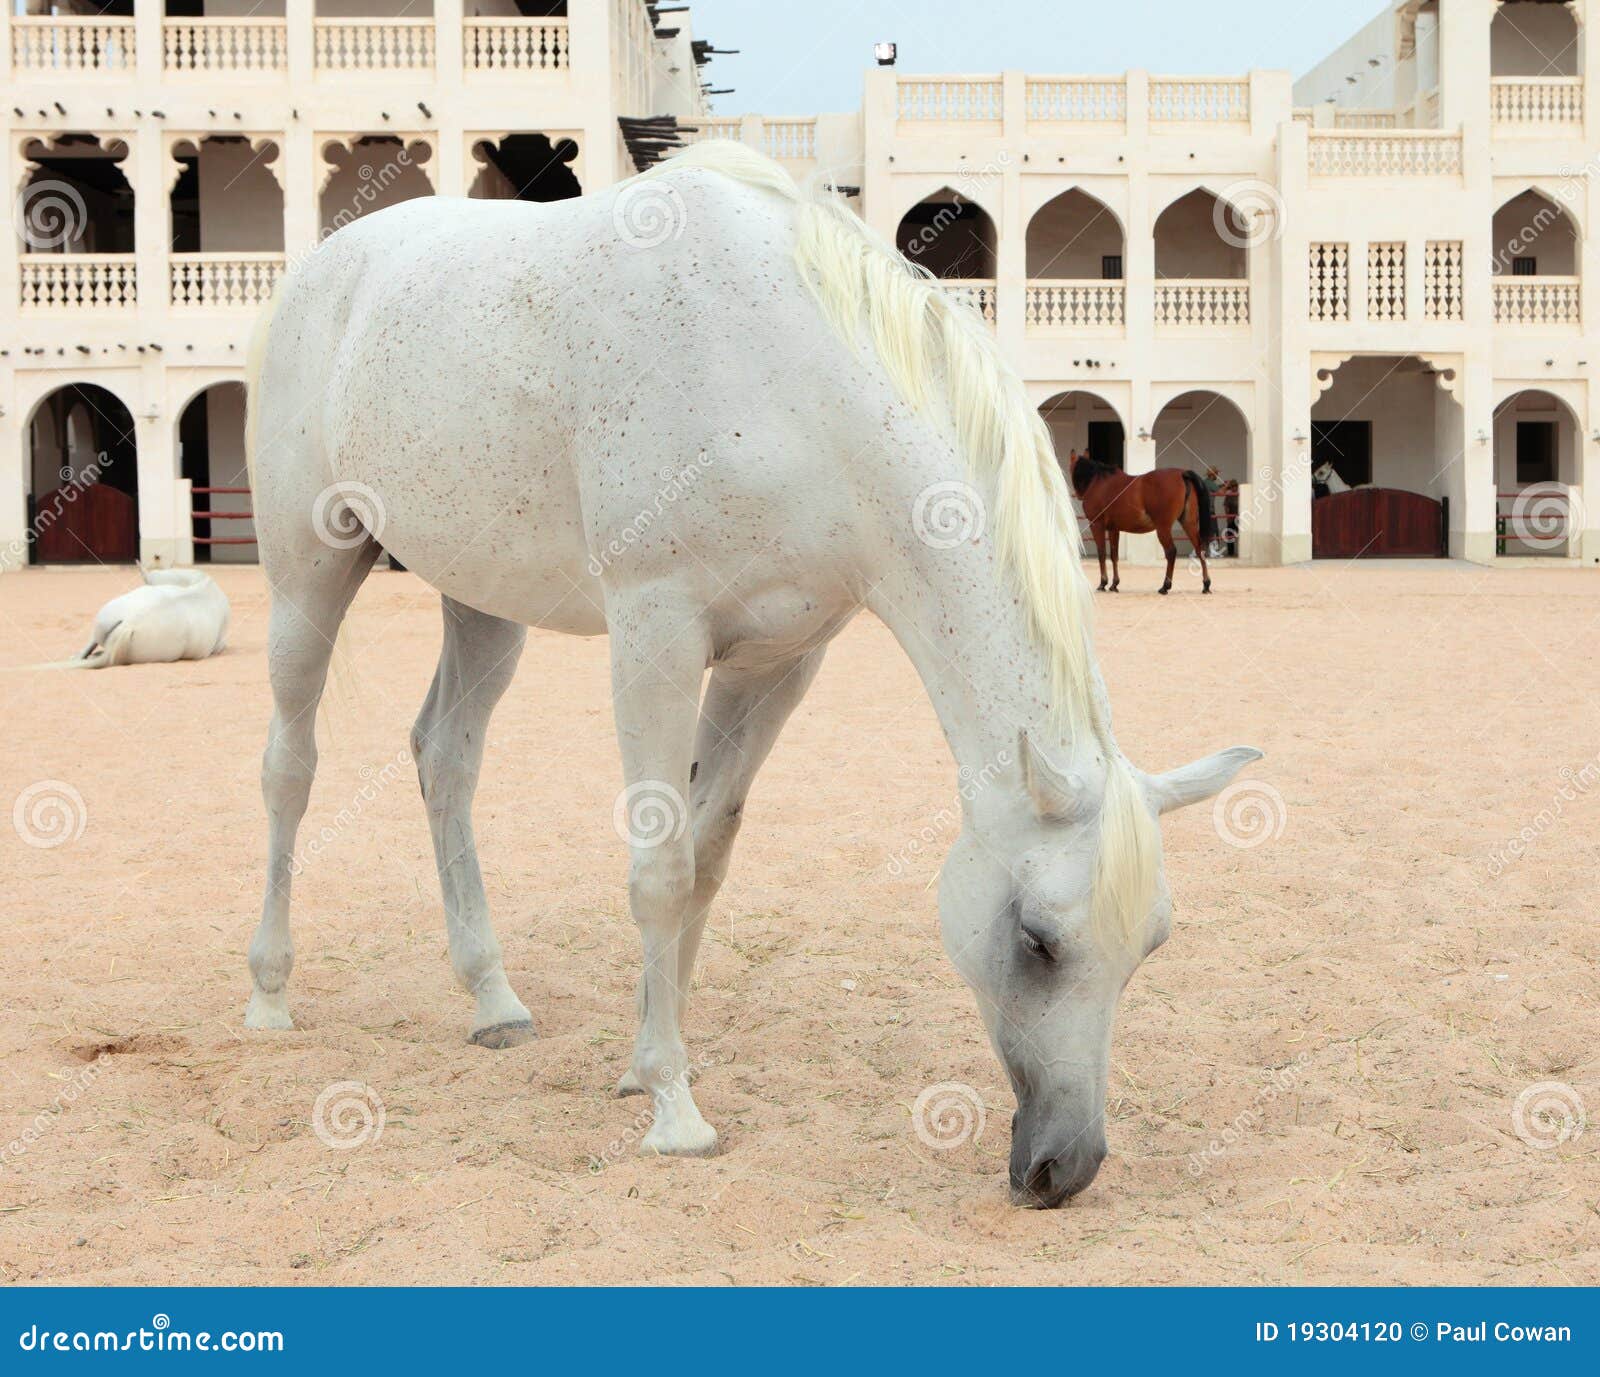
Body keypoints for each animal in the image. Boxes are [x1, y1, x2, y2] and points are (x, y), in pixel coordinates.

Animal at [1069, 458, 1218, 596]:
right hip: (1189, 523)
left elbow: (1101, 553)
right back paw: (1206, 585)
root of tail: (1182, 473)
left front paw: (1103, 583)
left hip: (1163, 528)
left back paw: (1165, 586)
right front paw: (1114, 584)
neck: (1099, 483)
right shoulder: (1113, 529)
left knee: (1171, 552)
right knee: (1200, 550)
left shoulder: (1096, 525)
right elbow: (1114, 555)